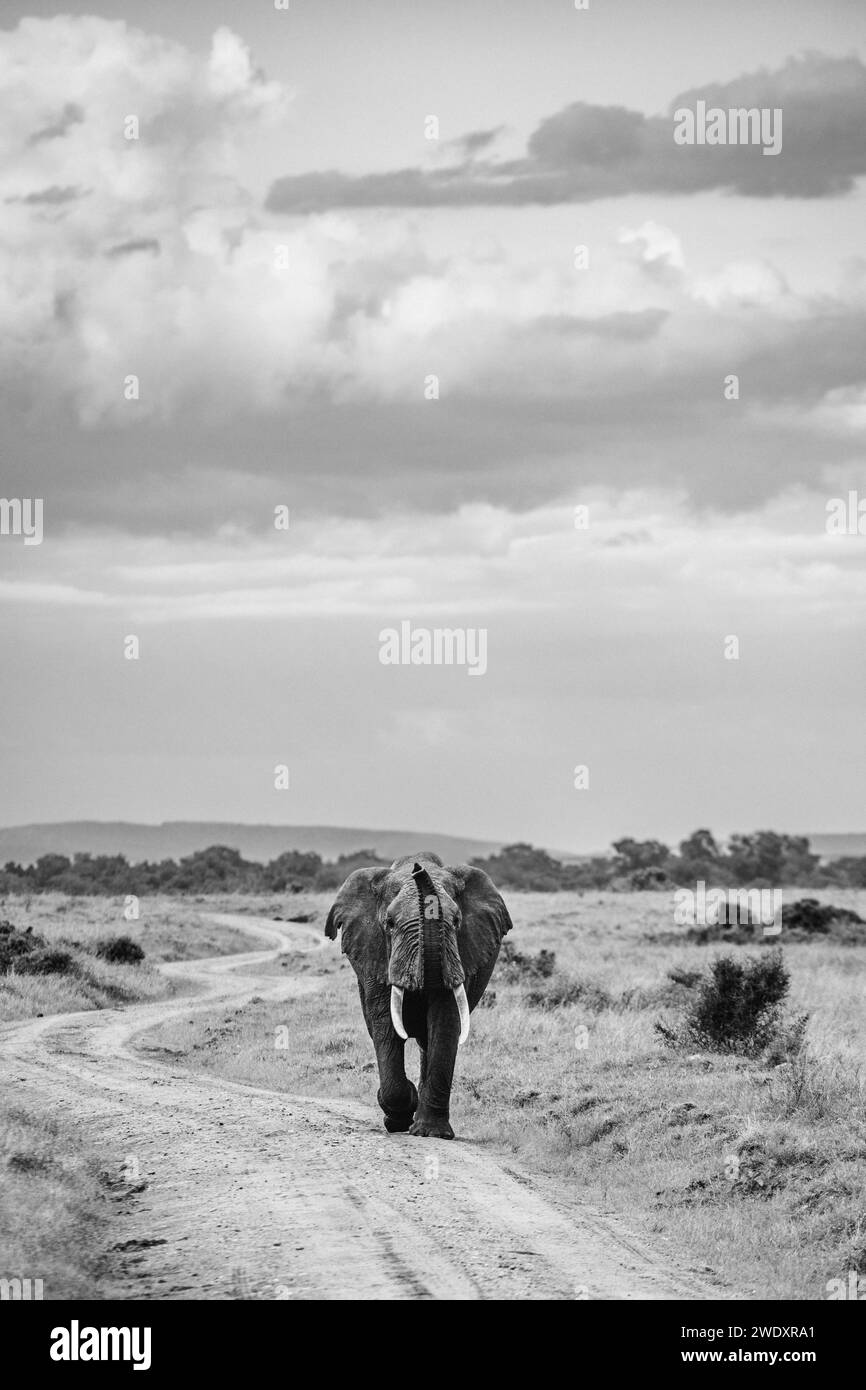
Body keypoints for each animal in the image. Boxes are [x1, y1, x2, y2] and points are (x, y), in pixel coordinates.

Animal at [325, 853, 513, 1139]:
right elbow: (385, 1024)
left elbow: (445, 1022)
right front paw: (398, 1117)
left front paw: (431, 1133)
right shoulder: (376, 955)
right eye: (390, 924)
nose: (418, 868)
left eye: (456, 922)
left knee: (427, 1042)